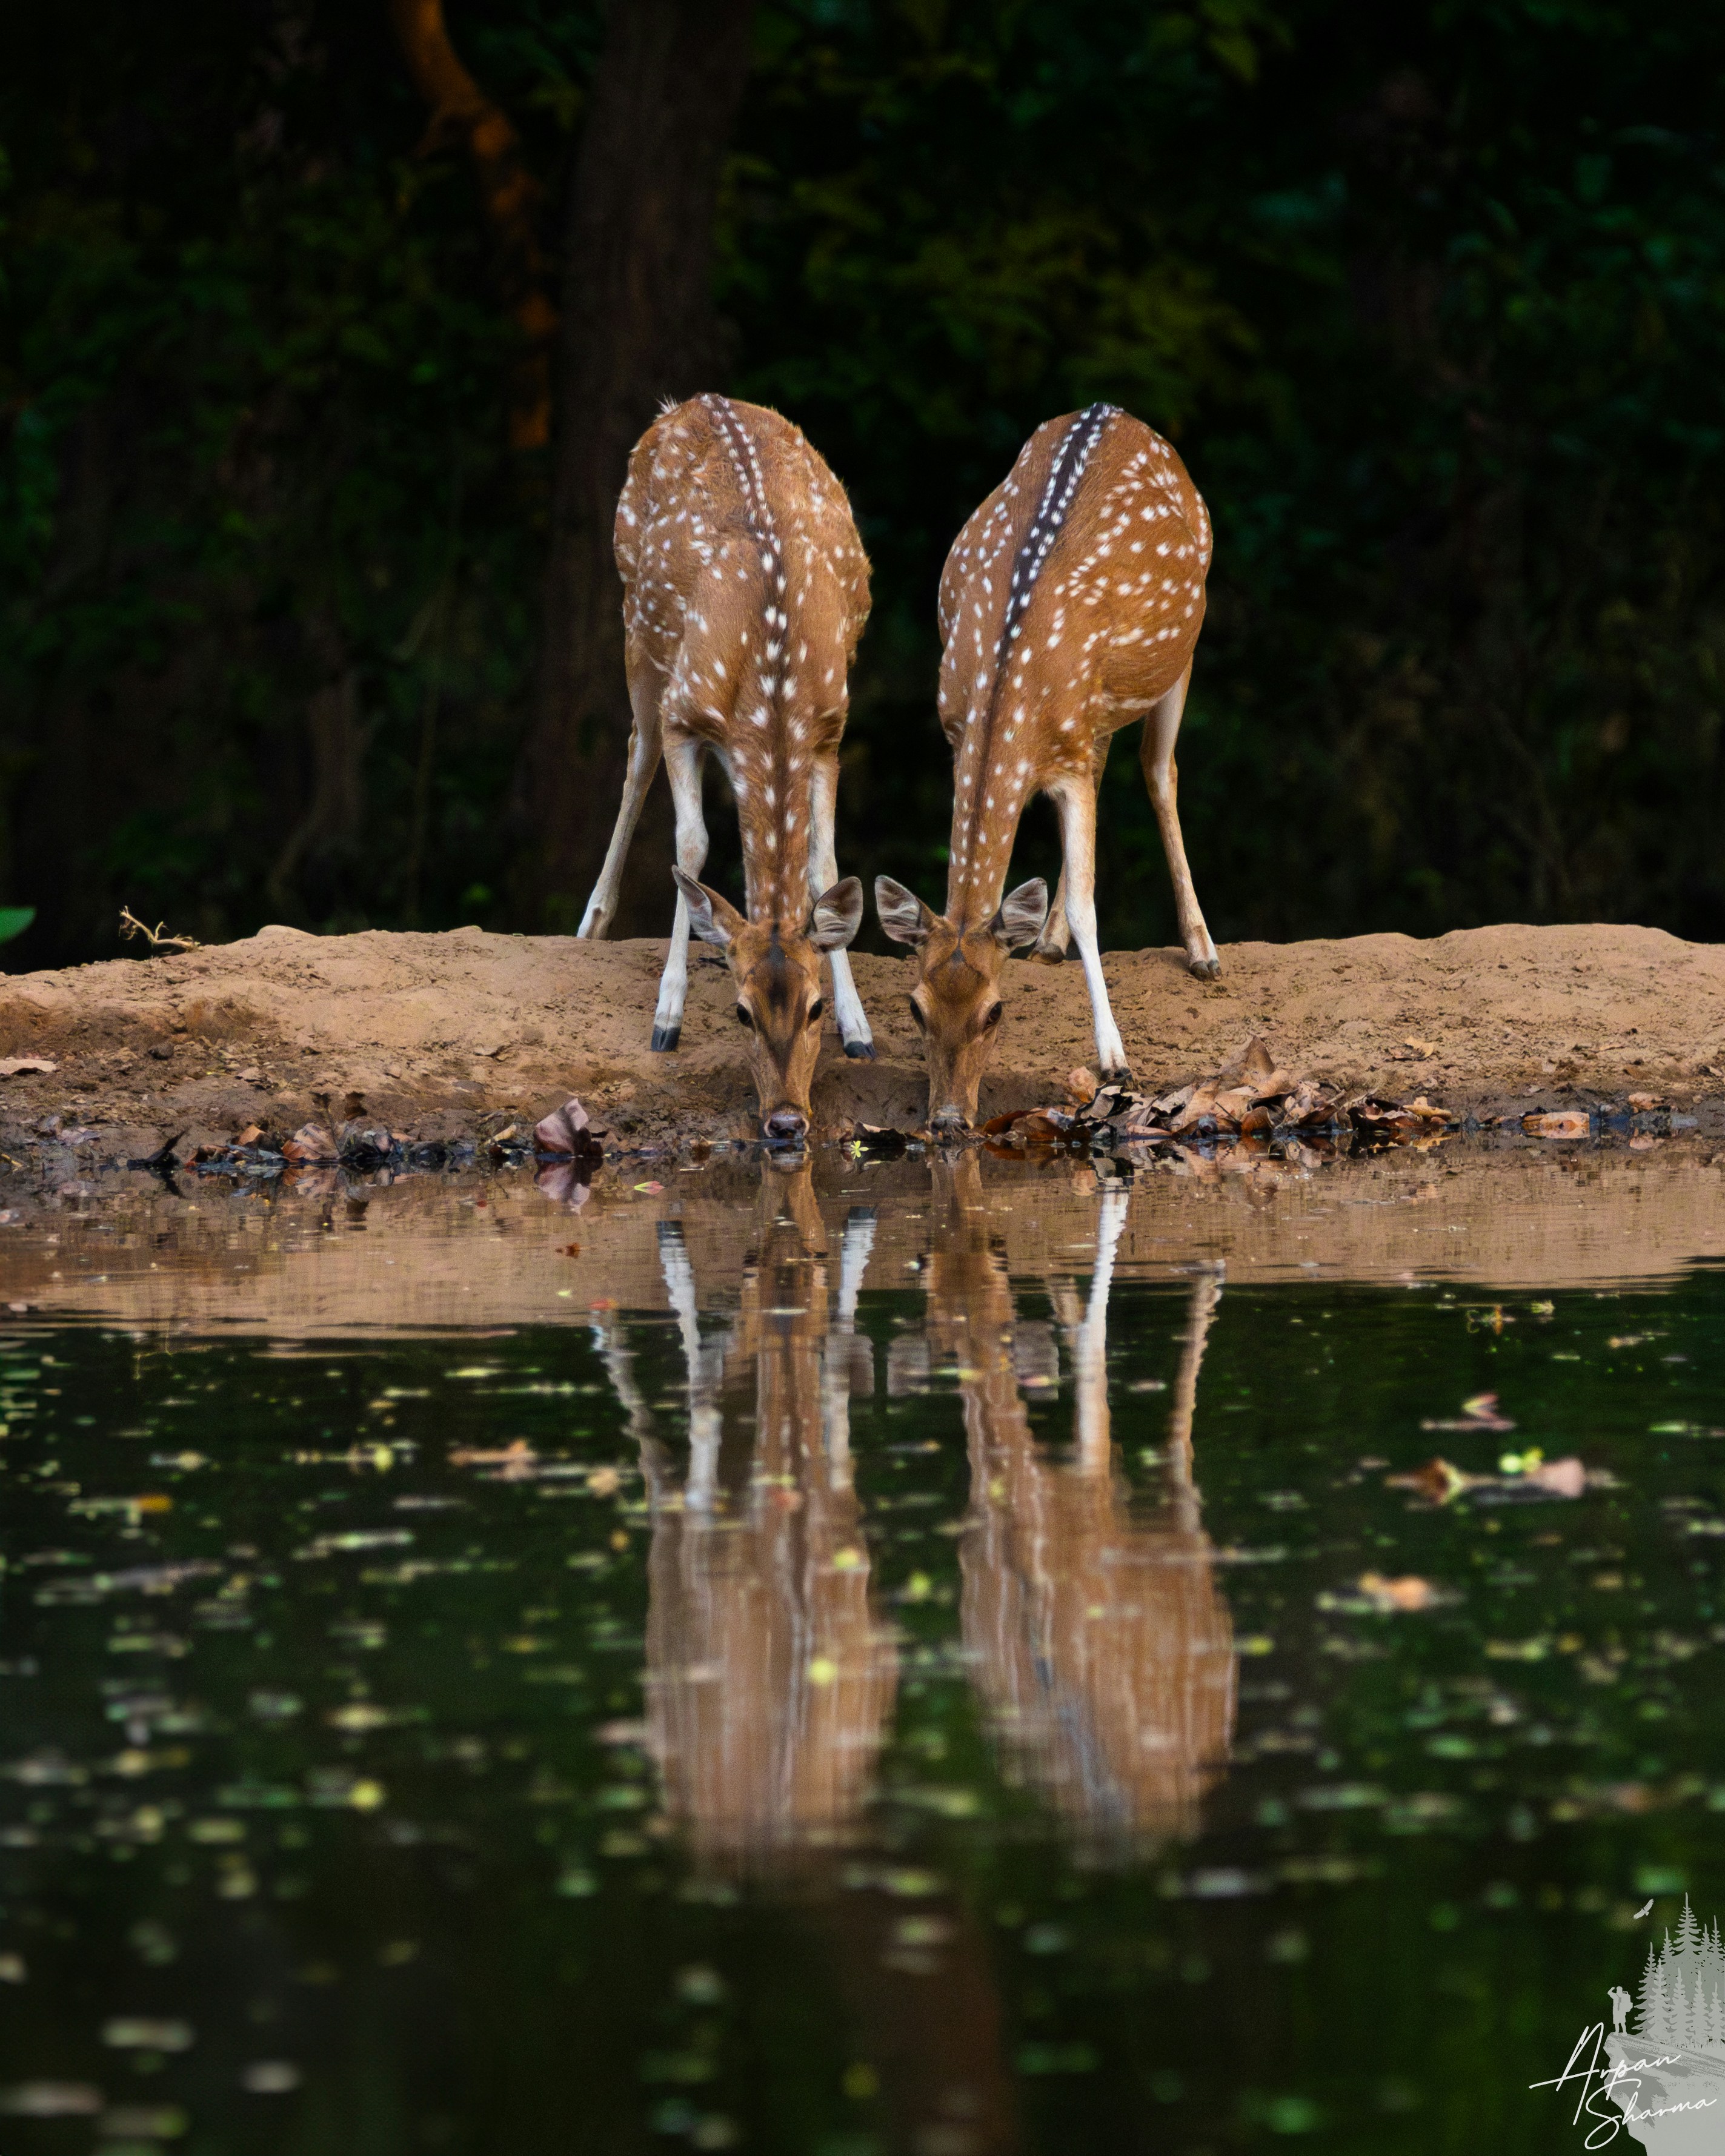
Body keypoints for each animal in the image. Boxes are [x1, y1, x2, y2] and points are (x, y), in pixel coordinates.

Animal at [577, 394, 875, 1145]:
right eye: (741, 1012)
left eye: (814, 1007)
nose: (786, 1121)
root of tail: (689, 402)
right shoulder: (687, 714)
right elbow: (692, 848)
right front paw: (667, 1018)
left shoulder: (830, 730)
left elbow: (823, 868)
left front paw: (862, 1029)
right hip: (637, 623)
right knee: (637, 754)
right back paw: (592, 922)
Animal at [875, 403, 1218, 1131]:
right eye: (915, 1007)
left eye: (995, 1011)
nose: (948, 1118)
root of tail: (1113, 410)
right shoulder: (961, 734)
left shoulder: (1069, 757)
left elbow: (1093, 906)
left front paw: (1115, 1058)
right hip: (1101, 713)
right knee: (1114, 769)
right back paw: (1052, 938)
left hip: (1185, 646)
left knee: (1159, 770)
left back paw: (1203, 951)